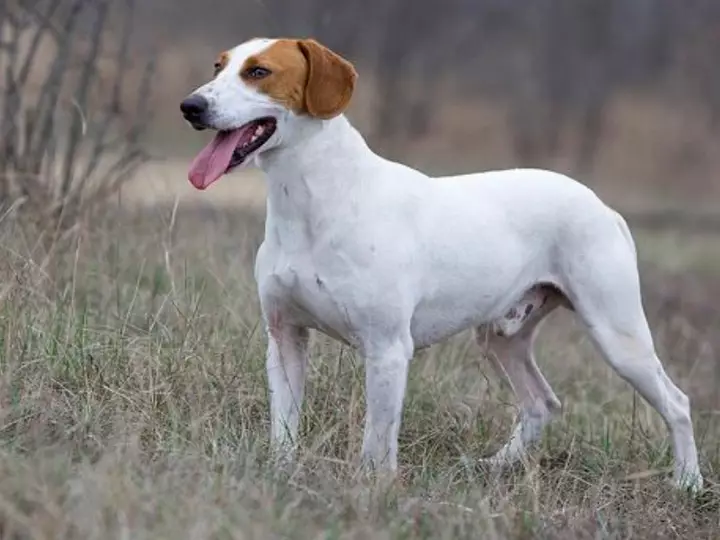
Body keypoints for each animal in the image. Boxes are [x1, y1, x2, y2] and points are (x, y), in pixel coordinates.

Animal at [180, 37, 704, 494]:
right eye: (217, 66)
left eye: (259, 72)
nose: (191, 106)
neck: (312, 198)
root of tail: (603, 206)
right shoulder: (285, 336)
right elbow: (285, 427)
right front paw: (281, 474)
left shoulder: (388, 350)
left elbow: (377, 441)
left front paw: (373, 490)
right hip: (502, 339)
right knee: (542, 403)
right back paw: (494, 466)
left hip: (618, 336)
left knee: (677, 402)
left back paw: (688, 483)